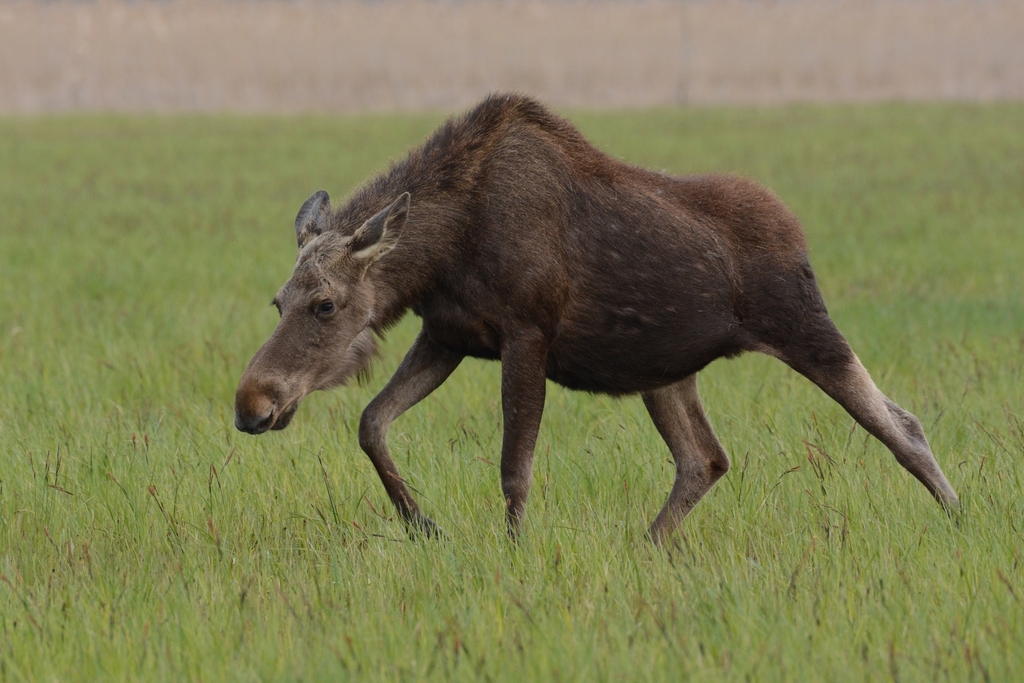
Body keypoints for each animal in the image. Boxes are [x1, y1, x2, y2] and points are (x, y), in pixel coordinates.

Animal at [234, 94, 958, 543]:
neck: (439, 254)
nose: (251, 403)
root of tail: (798, 233)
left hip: (807, 327)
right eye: (277, 301)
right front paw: (425, 525)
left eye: (326, 304)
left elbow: (514, 466)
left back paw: (960, 519)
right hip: (666, 371)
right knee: (705, 458)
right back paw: (645, 546)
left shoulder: (526, 334)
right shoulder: (447, 334)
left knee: (902, 424)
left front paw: (515, 552)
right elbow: (372, 423)